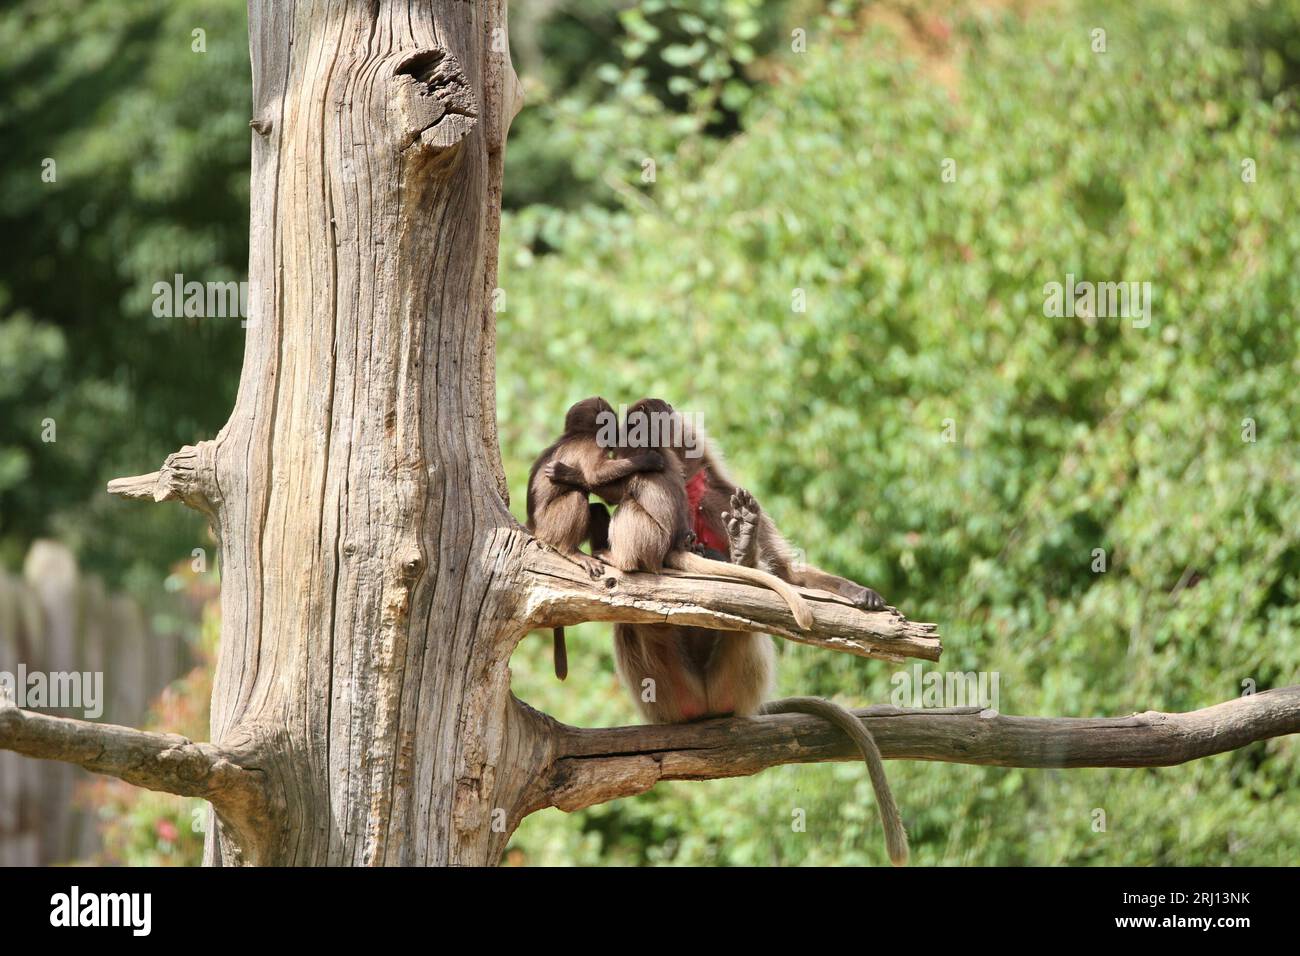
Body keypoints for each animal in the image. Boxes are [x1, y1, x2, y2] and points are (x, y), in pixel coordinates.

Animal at [525, 396, 665, 679]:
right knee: (578, 496)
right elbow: (596, 476)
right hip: (551, 527)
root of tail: (534, 528)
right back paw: (572, 552)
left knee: (597, 507)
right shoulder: (590, 444)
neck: (574, 434)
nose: (617, 436)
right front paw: (647, 459)